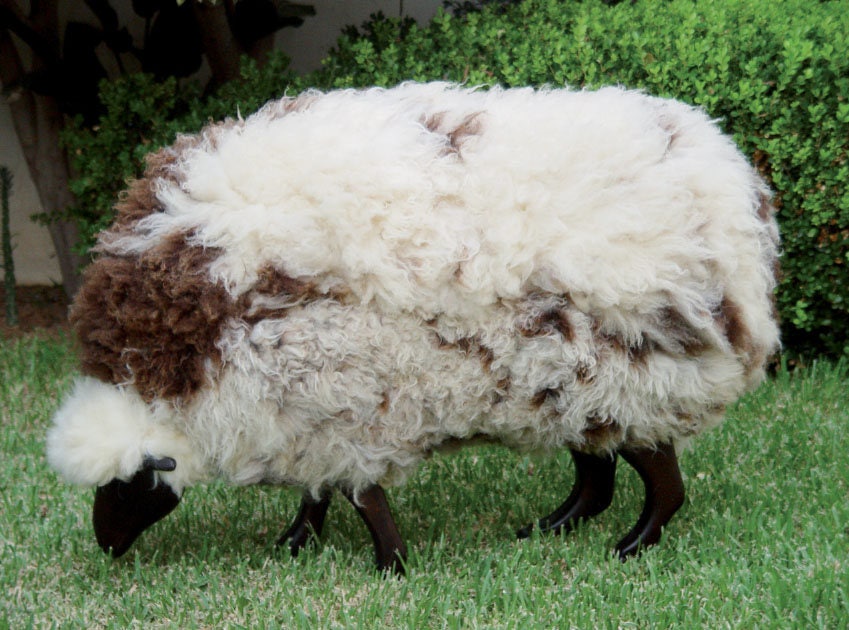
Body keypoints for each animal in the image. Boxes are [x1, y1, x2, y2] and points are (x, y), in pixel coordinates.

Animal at [47, 82, 780, 574]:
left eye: (132, 486)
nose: (107, 546)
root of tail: (727, 177)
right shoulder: (301, 419)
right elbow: (319, 493)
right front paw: (296, 542)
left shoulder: (335, 408)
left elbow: (362, 496)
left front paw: (390, 565)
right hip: (569, 383)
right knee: (595, 475)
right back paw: (551, 527)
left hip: (639, 378)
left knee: (663, 480)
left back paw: (631, 545)